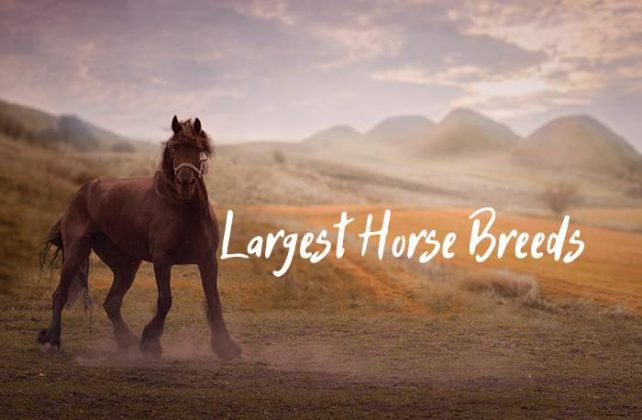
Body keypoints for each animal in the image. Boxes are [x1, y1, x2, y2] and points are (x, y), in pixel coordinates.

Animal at [38, 116, 241, 360]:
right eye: (174, 148)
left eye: (199, 150)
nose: (185, 182)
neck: (182, 209)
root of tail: (82, 191)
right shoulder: (162, 260)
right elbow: (165, 300)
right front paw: (151, 342)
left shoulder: (207, 260)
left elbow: (213, 300)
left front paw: (225, 346)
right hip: (76, 252)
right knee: (60, 294)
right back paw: (51, 340)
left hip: (126, 265)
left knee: (112, 303)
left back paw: (127, 341)